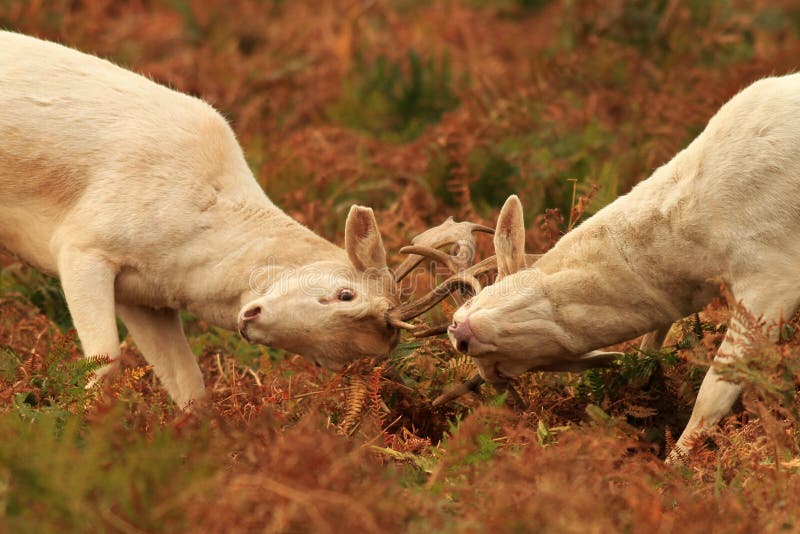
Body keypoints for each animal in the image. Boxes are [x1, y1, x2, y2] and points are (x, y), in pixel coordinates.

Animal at [0, 31, 489, 408]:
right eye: (345, 294)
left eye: (331, 359)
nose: (250, 318)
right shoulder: (81, 243)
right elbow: (105, 360)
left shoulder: (146, 299)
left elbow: (190, 388)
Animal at [439, 73, 800, 461]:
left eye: (498, 367)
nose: (458, 332)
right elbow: (647, 351)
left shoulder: (772, 274)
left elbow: (713, 392)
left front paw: (675, 465)